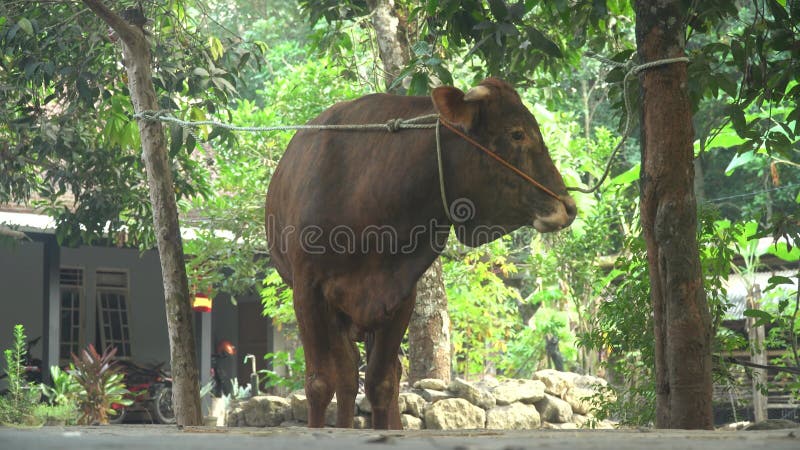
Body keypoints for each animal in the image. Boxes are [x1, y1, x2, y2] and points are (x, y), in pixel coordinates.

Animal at [265, 78, 576, 429]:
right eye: (517, 134)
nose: (568, 206)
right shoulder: (308, 292)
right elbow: (319, 383)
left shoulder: (399, 294)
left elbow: (382, 383)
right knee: (345, 375)